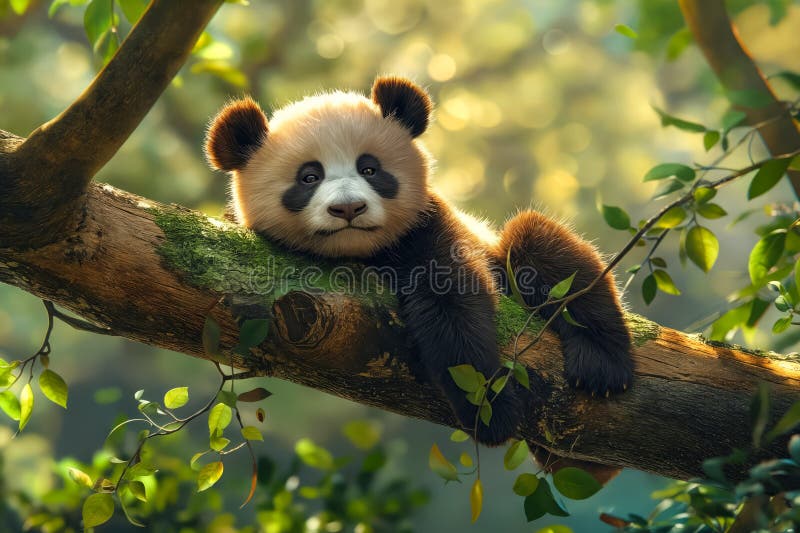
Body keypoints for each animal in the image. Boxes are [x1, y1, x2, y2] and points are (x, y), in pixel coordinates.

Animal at [205, 76, 633, 446]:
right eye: (309, 177)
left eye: (370, 169)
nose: (349, 208)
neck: (363, 253)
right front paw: (493, 411)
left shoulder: (429, 225)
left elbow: (453, 300)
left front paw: (489, 410)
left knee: (543, 245)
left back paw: (601, 365)